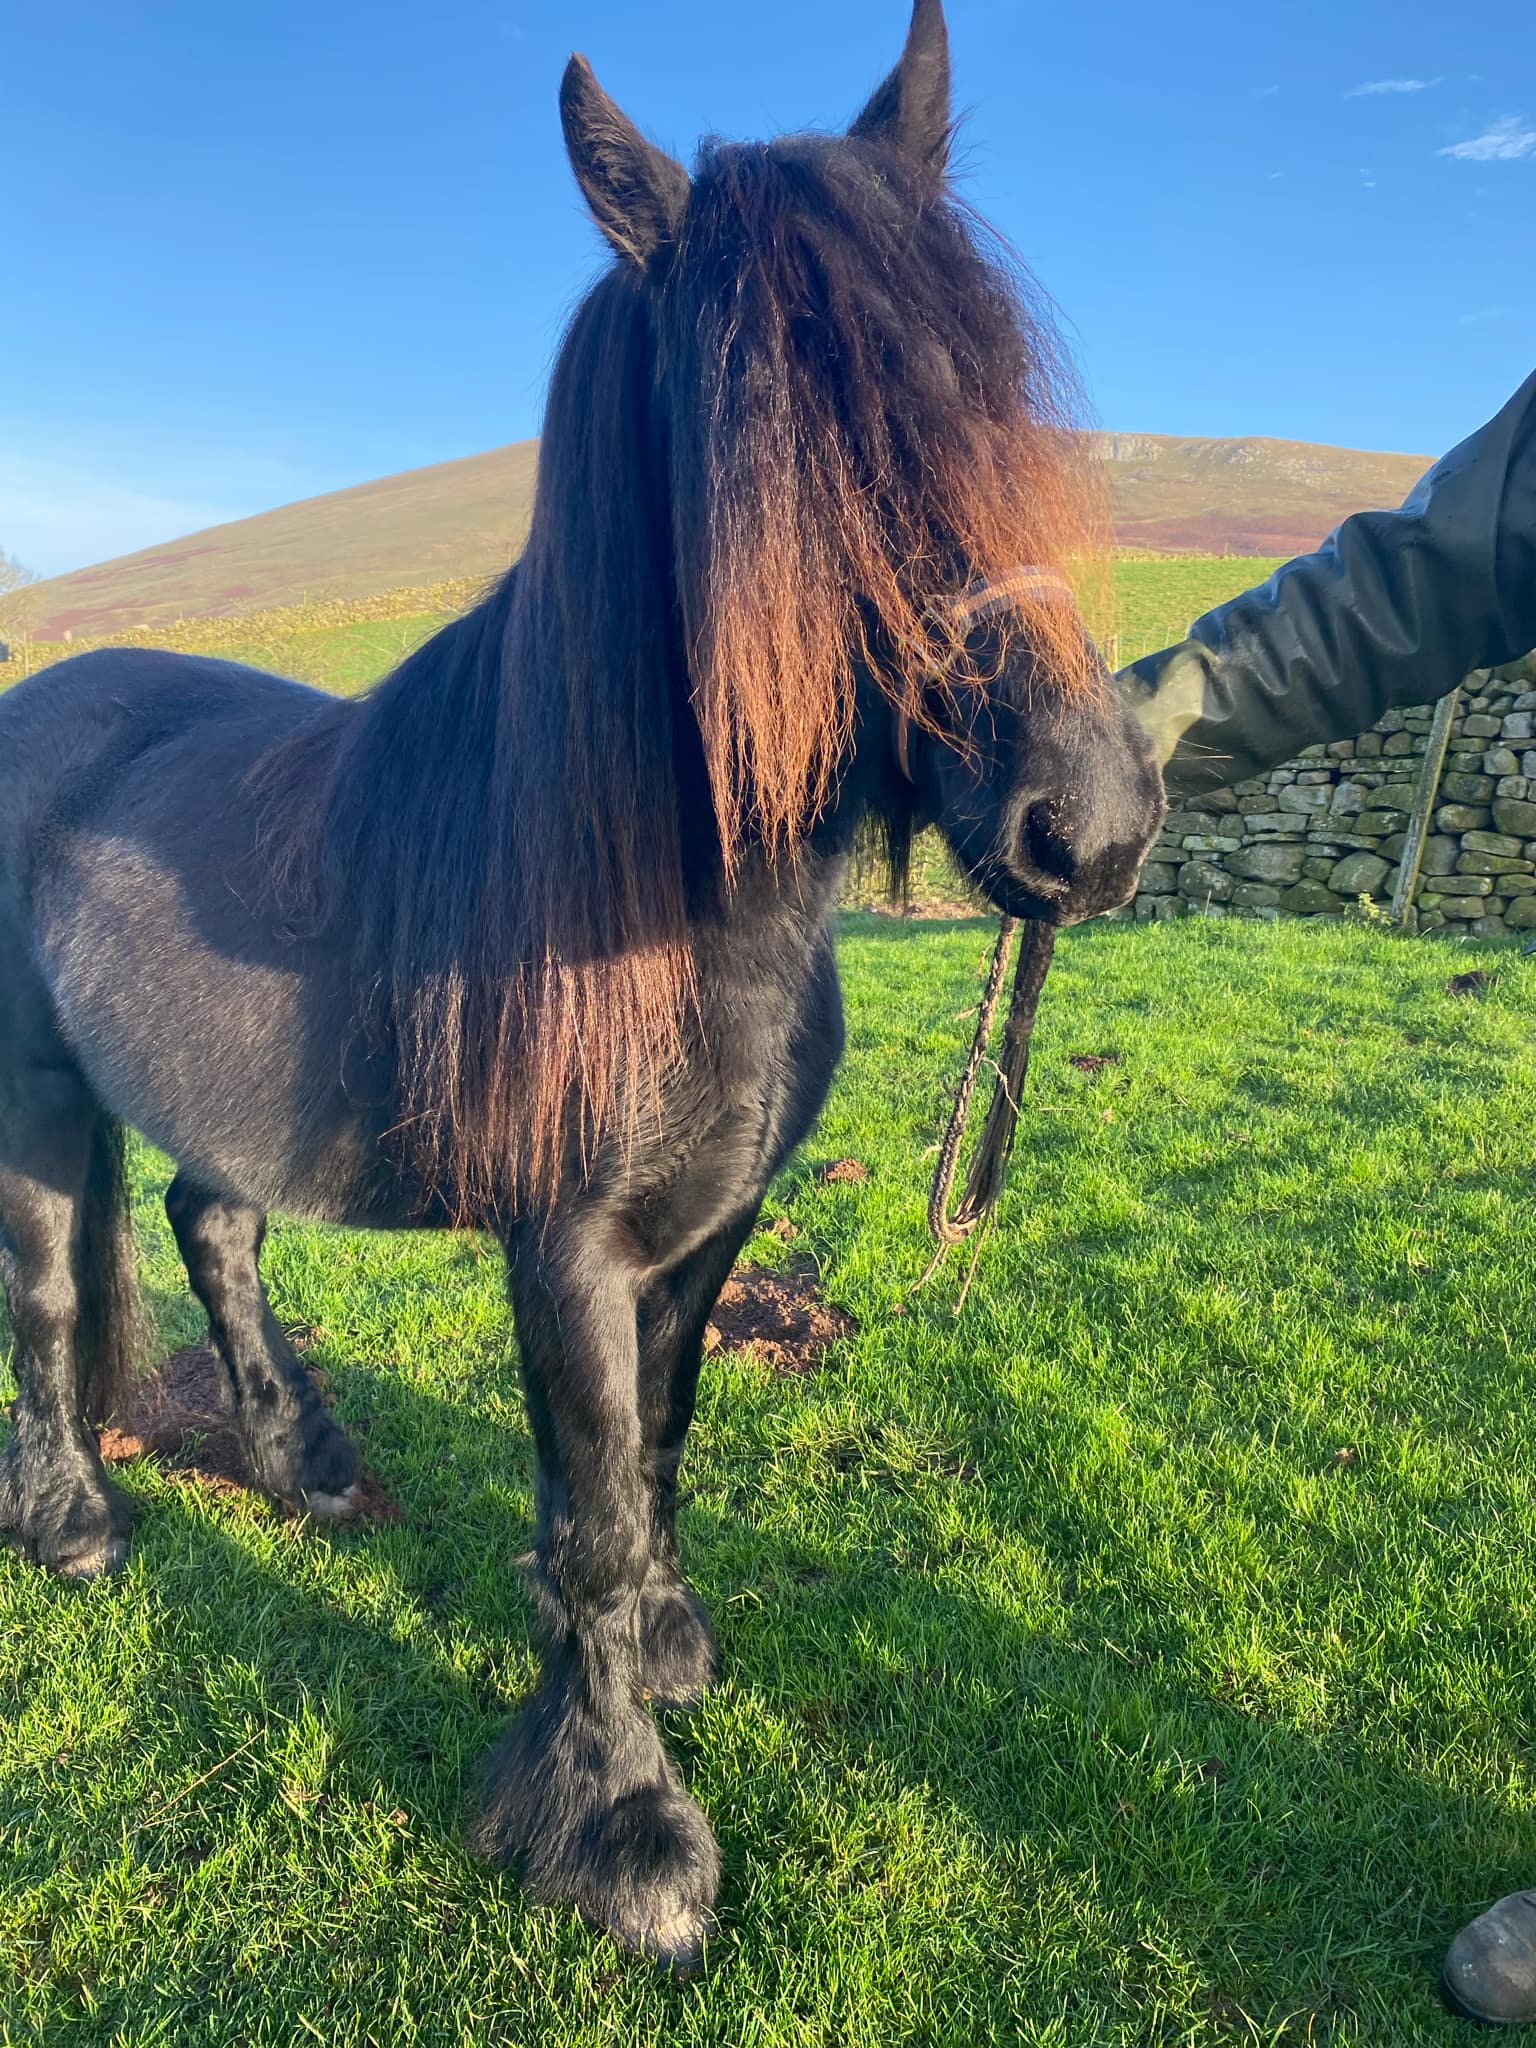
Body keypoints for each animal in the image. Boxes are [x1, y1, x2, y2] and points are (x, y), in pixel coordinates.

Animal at [0, 0, 1164, 1964]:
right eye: (773, 441)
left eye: (997, 391)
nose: (1084, 830)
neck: (684, 920)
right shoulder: (568, 1251)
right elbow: (598, 1515)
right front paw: (623, 1828)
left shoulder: (706, 1233)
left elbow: (659, 1450)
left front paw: (663, 1656)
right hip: (32, 1093)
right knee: (50, 1283)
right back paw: (77, 1521)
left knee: (207, 1221)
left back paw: (305, 1461)